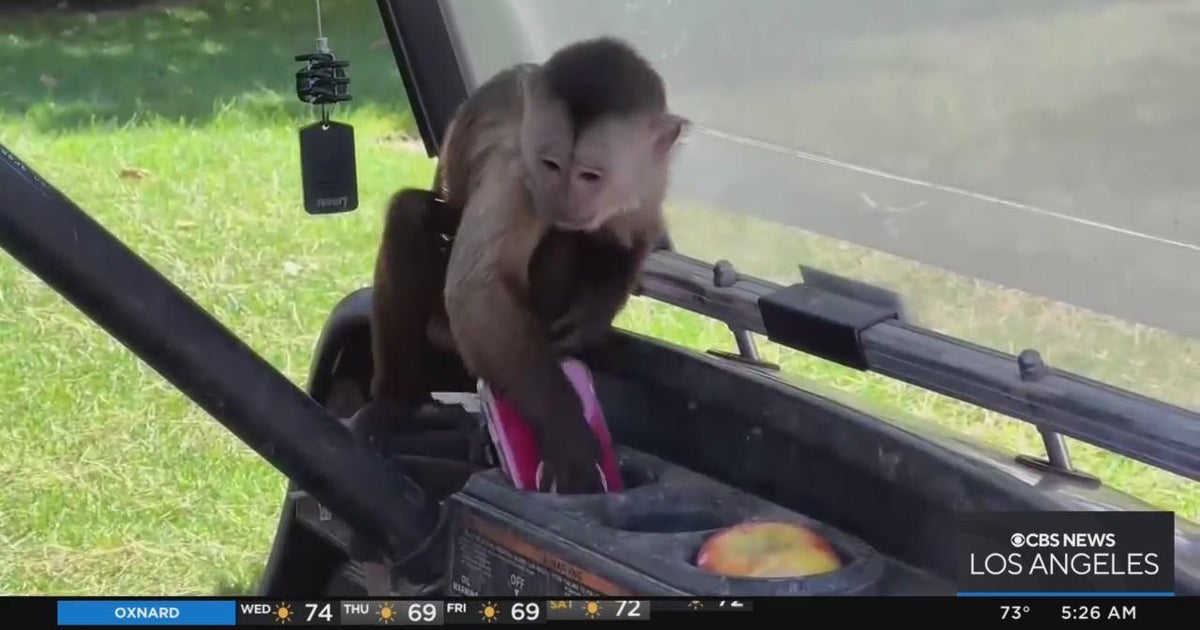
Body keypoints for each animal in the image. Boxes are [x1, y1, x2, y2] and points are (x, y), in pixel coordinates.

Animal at [363, 36, 687, 494]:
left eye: (590, 175)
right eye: (551, 164)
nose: (561, 198)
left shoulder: (648, 179)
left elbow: (635, 238)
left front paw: (589, 317)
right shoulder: (517, 174)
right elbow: (480, 290)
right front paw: (567, 434)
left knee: (573, 237)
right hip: (442, 327)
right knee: (412, 215)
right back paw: (400, 407)